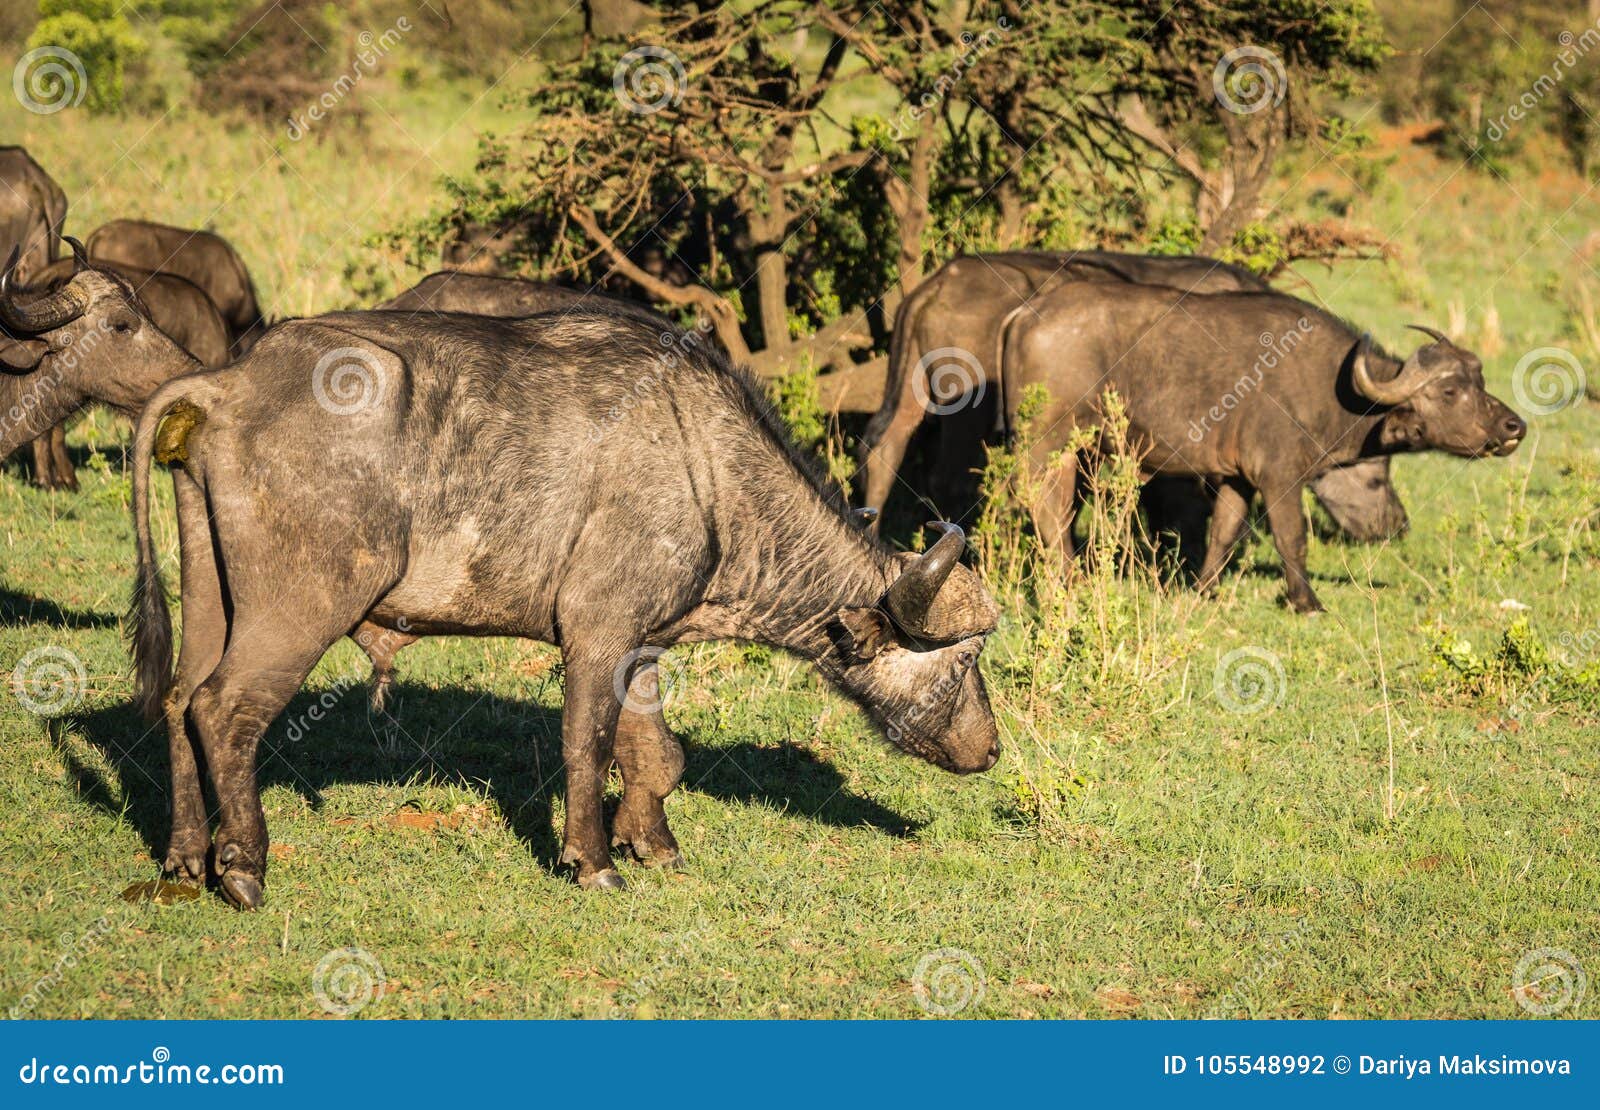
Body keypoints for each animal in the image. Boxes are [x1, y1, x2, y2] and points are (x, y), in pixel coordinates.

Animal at [996, 281, 1524, 612]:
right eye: (1450, 391)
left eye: (1480, 381)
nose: (1513, 426)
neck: (1333, 387)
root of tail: (1027, 312)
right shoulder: (1279, 477)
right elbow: (1293, 538)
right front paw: (1306, 601)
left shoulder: (1237, 479)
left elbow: (1224, 534)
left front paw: (1204, 590)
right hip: (1051, 446)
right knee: (1050, 512)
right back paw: (1069, 582)